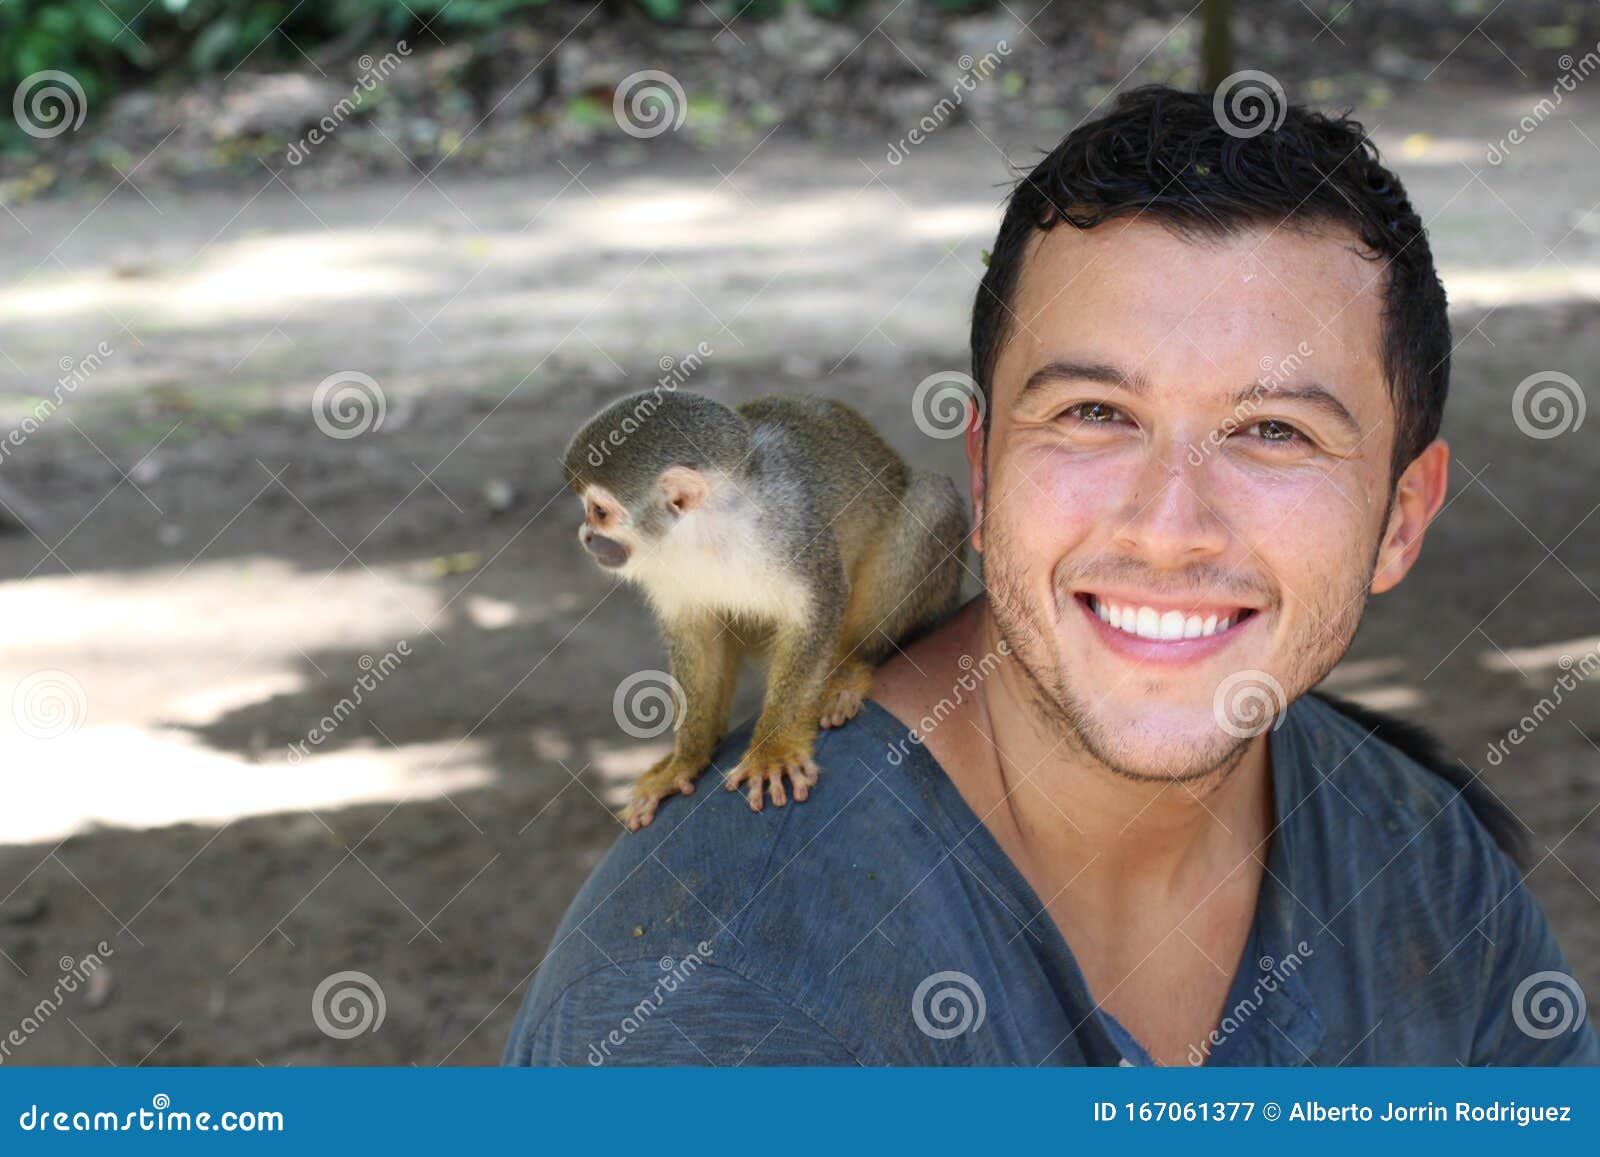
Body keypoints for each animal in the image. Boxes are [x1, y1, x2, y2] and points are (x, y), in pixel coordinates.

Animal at [563, 388, 967, 830]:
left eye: (600, 512)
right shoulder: (664, 567)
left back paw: (849, 671)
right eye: (589, 513)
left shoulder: (788, 525)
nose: (585, 536)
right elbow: (696, 636)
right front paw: (686, 758)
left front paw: (773, 750)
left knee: (933, 496)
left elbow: (820, 600)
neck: (708, 532)